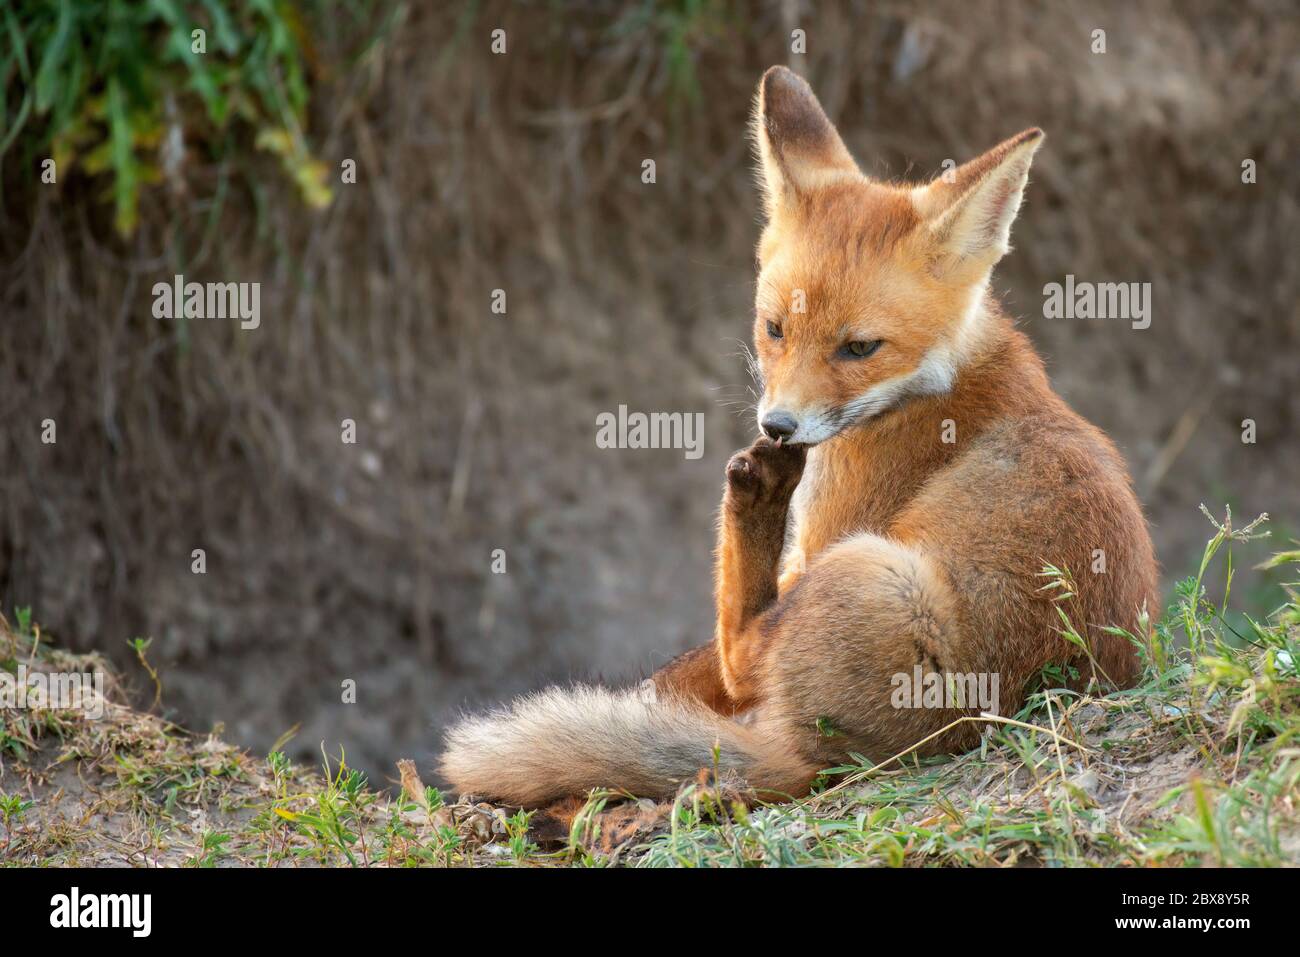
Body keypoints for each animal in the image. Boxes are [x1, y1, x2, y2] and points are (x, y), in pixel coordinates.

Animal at [439, 66, 1159, 808]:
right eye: (775, 328)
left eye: (860, 347)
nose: (777, 426)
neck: (938, 383)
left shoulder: (822, 540)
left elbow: (720, 663)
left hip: (872, 574)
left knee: (744, 656)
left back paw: (755, 497)